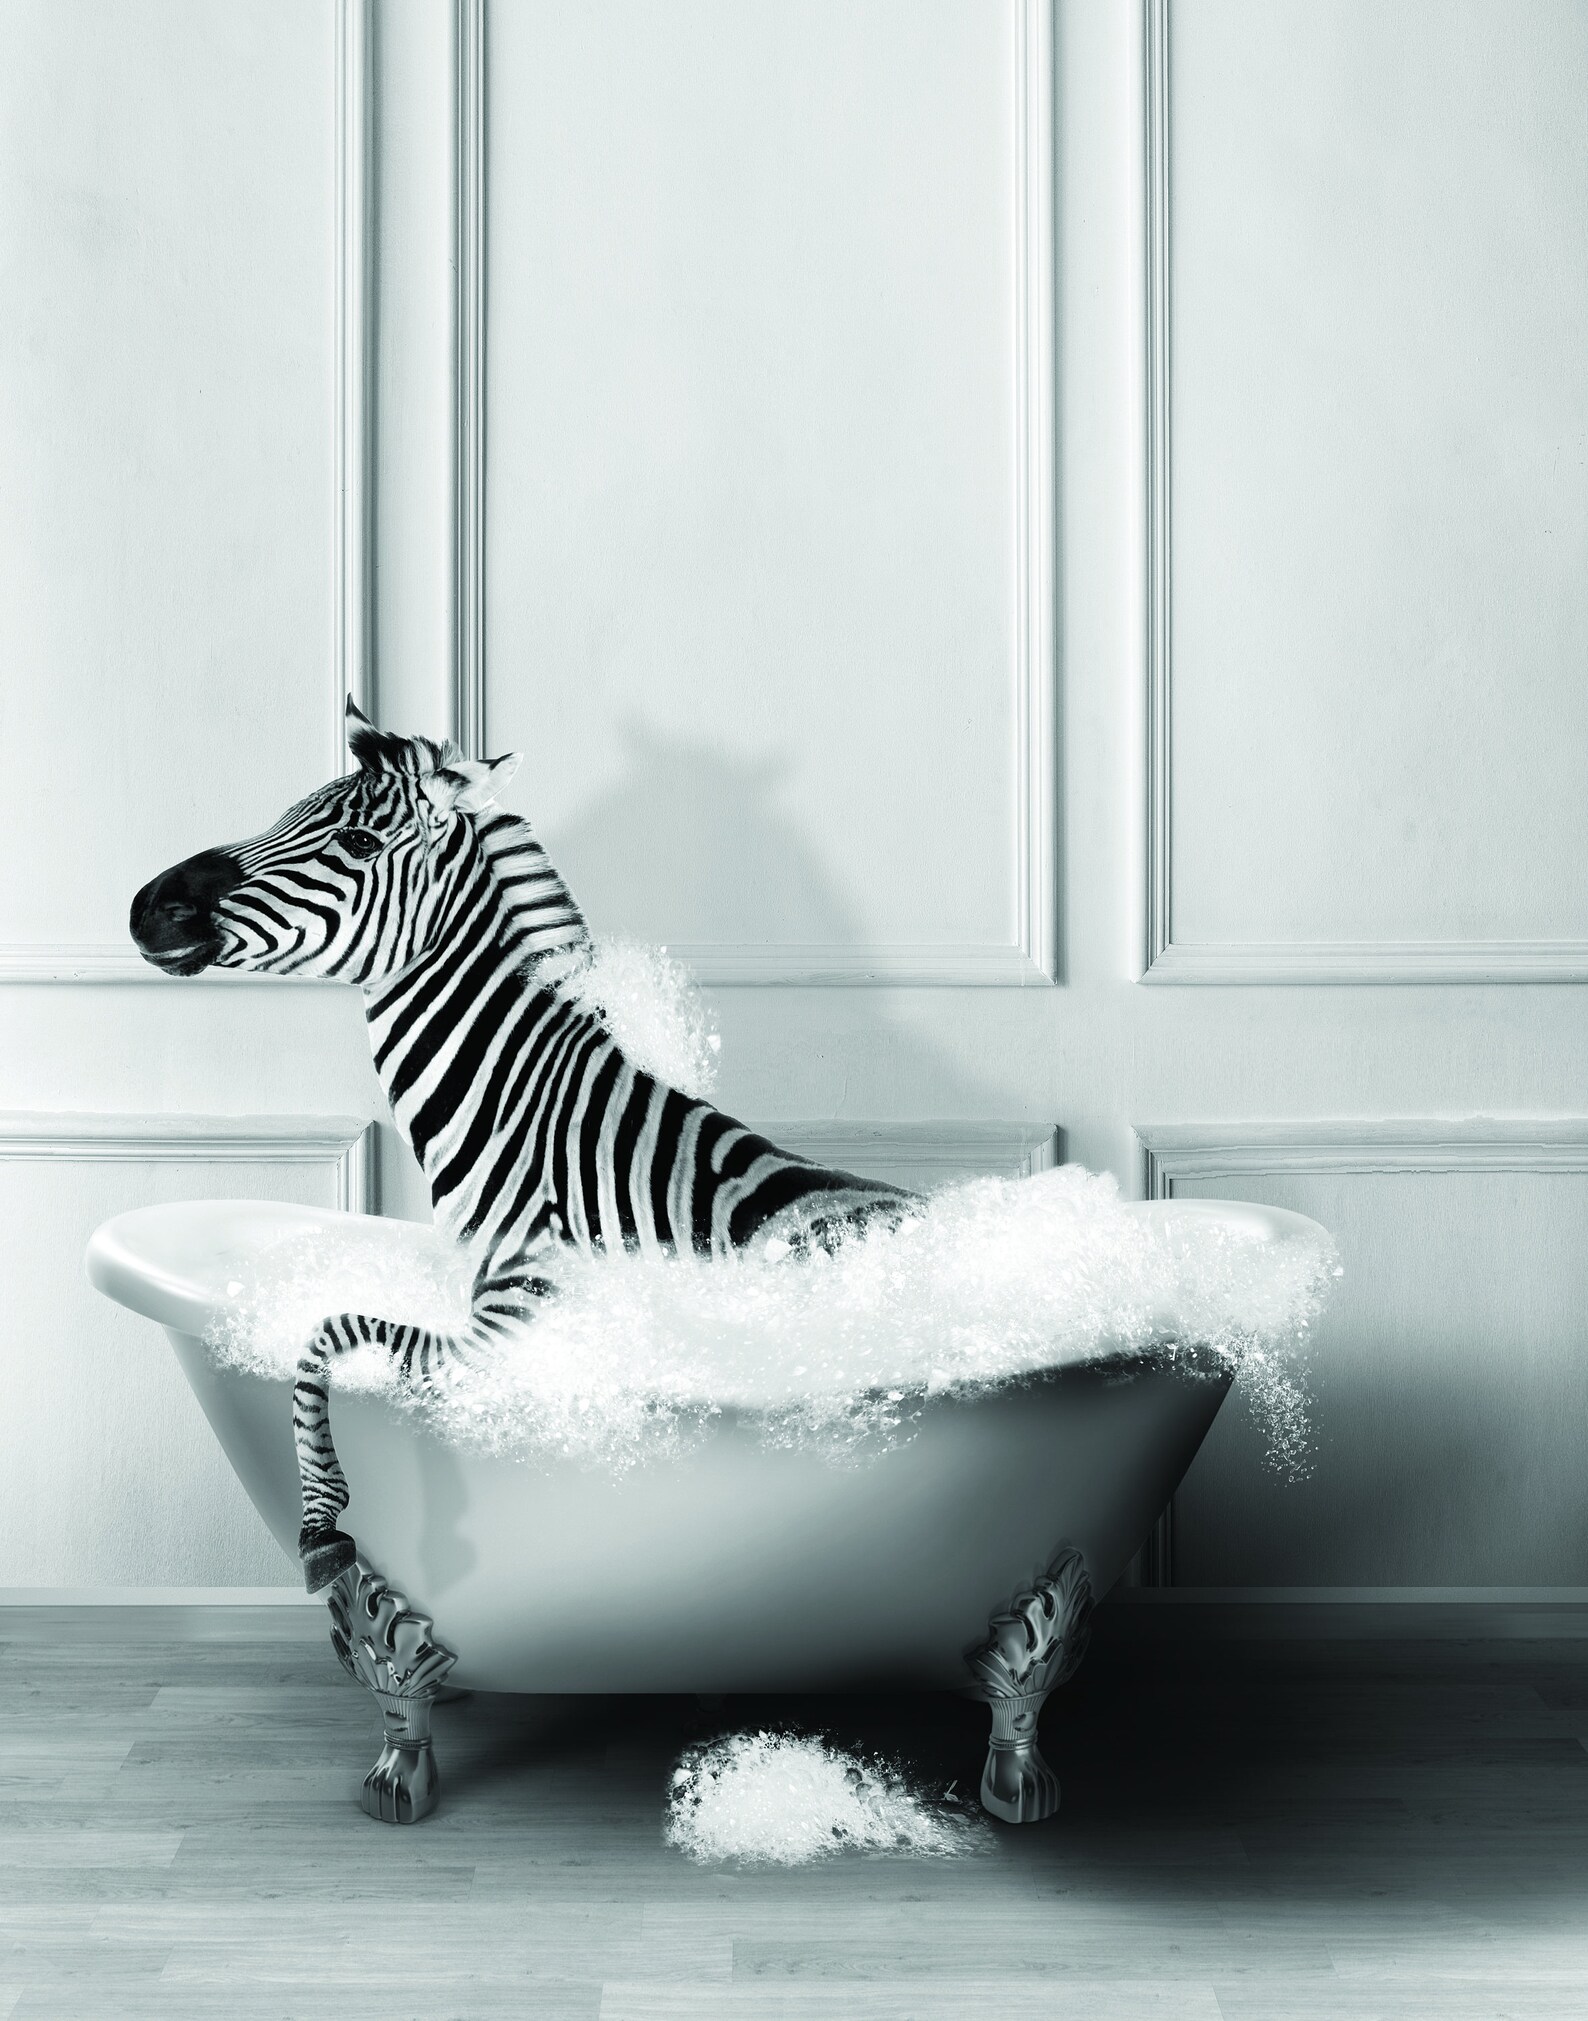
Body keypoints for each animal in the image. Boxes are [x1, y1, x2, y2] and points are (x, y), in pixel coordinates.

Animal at [131, 699, 914, 1591]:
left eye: (359, 843)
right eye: (285, 814)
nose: (149, 906)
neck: (540, 1128)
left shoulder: (516, 1323)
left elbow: (325, 1329)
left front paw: (323, 1528)